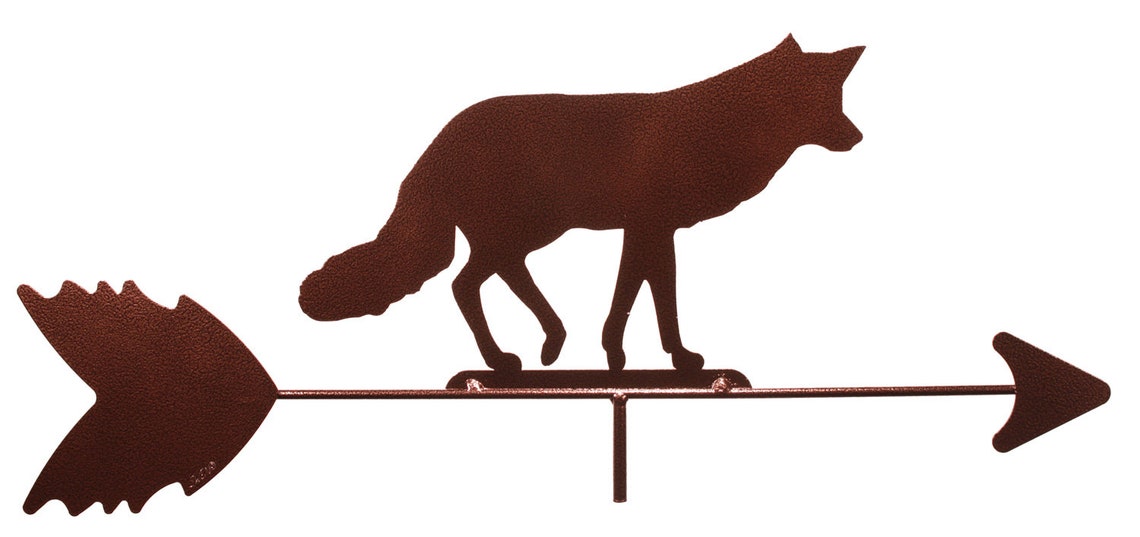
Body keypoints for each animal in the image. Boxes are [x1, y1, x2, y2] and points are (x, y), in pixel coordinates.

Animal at [299, 34, 864, 373]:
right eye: (821, 102)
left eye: (836, 101)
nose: (858, 137)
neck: (716, 129)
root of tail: (438, 144)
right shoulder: (650, 227)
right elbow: (647, 298)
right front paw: (646, 358)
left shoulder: (649, 231)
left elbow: (641, 295)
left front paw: (634, 356)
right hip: (529, 230)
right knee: (466, 284)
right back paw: (514, 355)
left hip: (525, 234)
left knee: (491, 278)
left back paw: (547, 343)